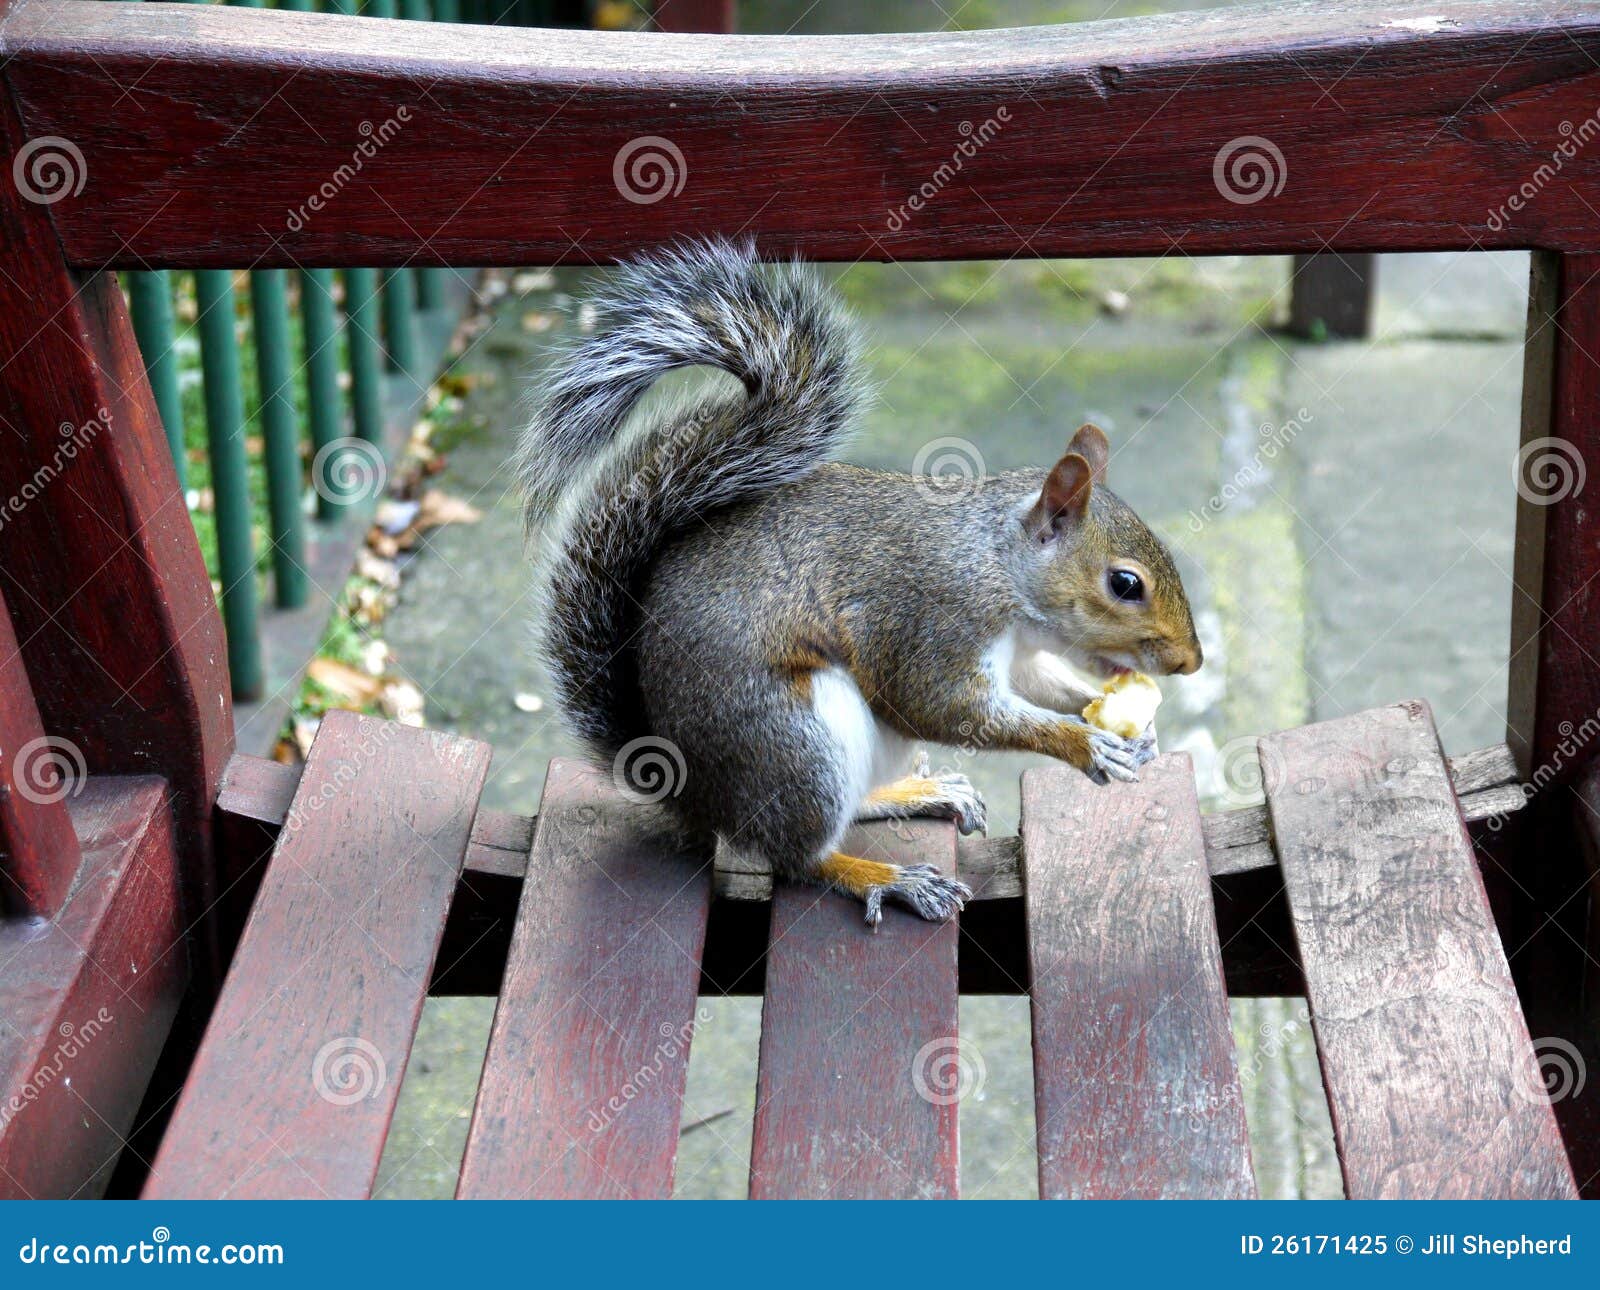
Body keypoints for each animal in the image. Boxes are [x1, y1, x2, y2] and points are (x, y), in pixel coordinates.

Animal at [517, 239, 1202, 928]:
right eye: (1125, 583)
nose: (1190, 662)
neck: (997, 567)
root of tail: (689, 793)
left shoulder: (1019, 657)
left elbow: (1042, 685)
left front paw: (1133, 730)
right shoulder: (933, 623)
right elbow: (942, 707)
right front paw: (1085, 745)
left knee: (851, 807)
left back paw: (919, 792)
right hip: (797, 748)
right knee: (798, 856)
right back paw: (887, 878)